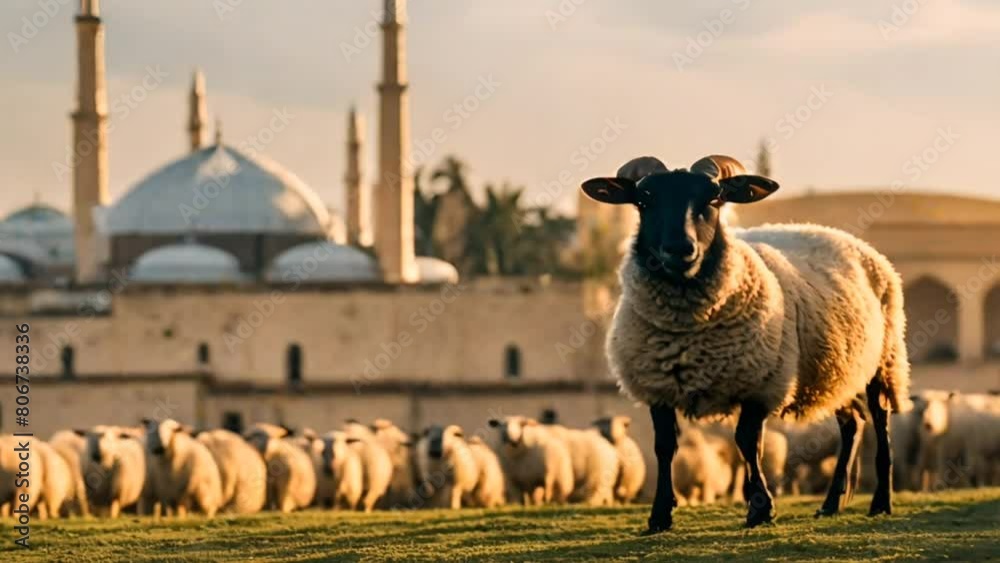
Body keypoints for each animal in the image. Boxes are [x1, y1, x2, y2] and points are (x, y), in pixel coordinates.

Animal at [583, 154, 911, 533]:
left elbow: (747, 442)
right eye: (644, 200)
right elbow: (664, 446)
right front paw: (660, 515)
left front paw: (760, 508)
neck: (689, 330)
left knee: (880, 423)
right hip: (835, 370)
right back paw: (830, 504)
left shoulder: (760, 382)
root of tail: (848, 239)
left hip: (883, 361)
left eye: (714, 198)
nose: (680, 249)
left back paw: (881, 502)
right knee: (853, 424)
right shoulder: (657, 387)